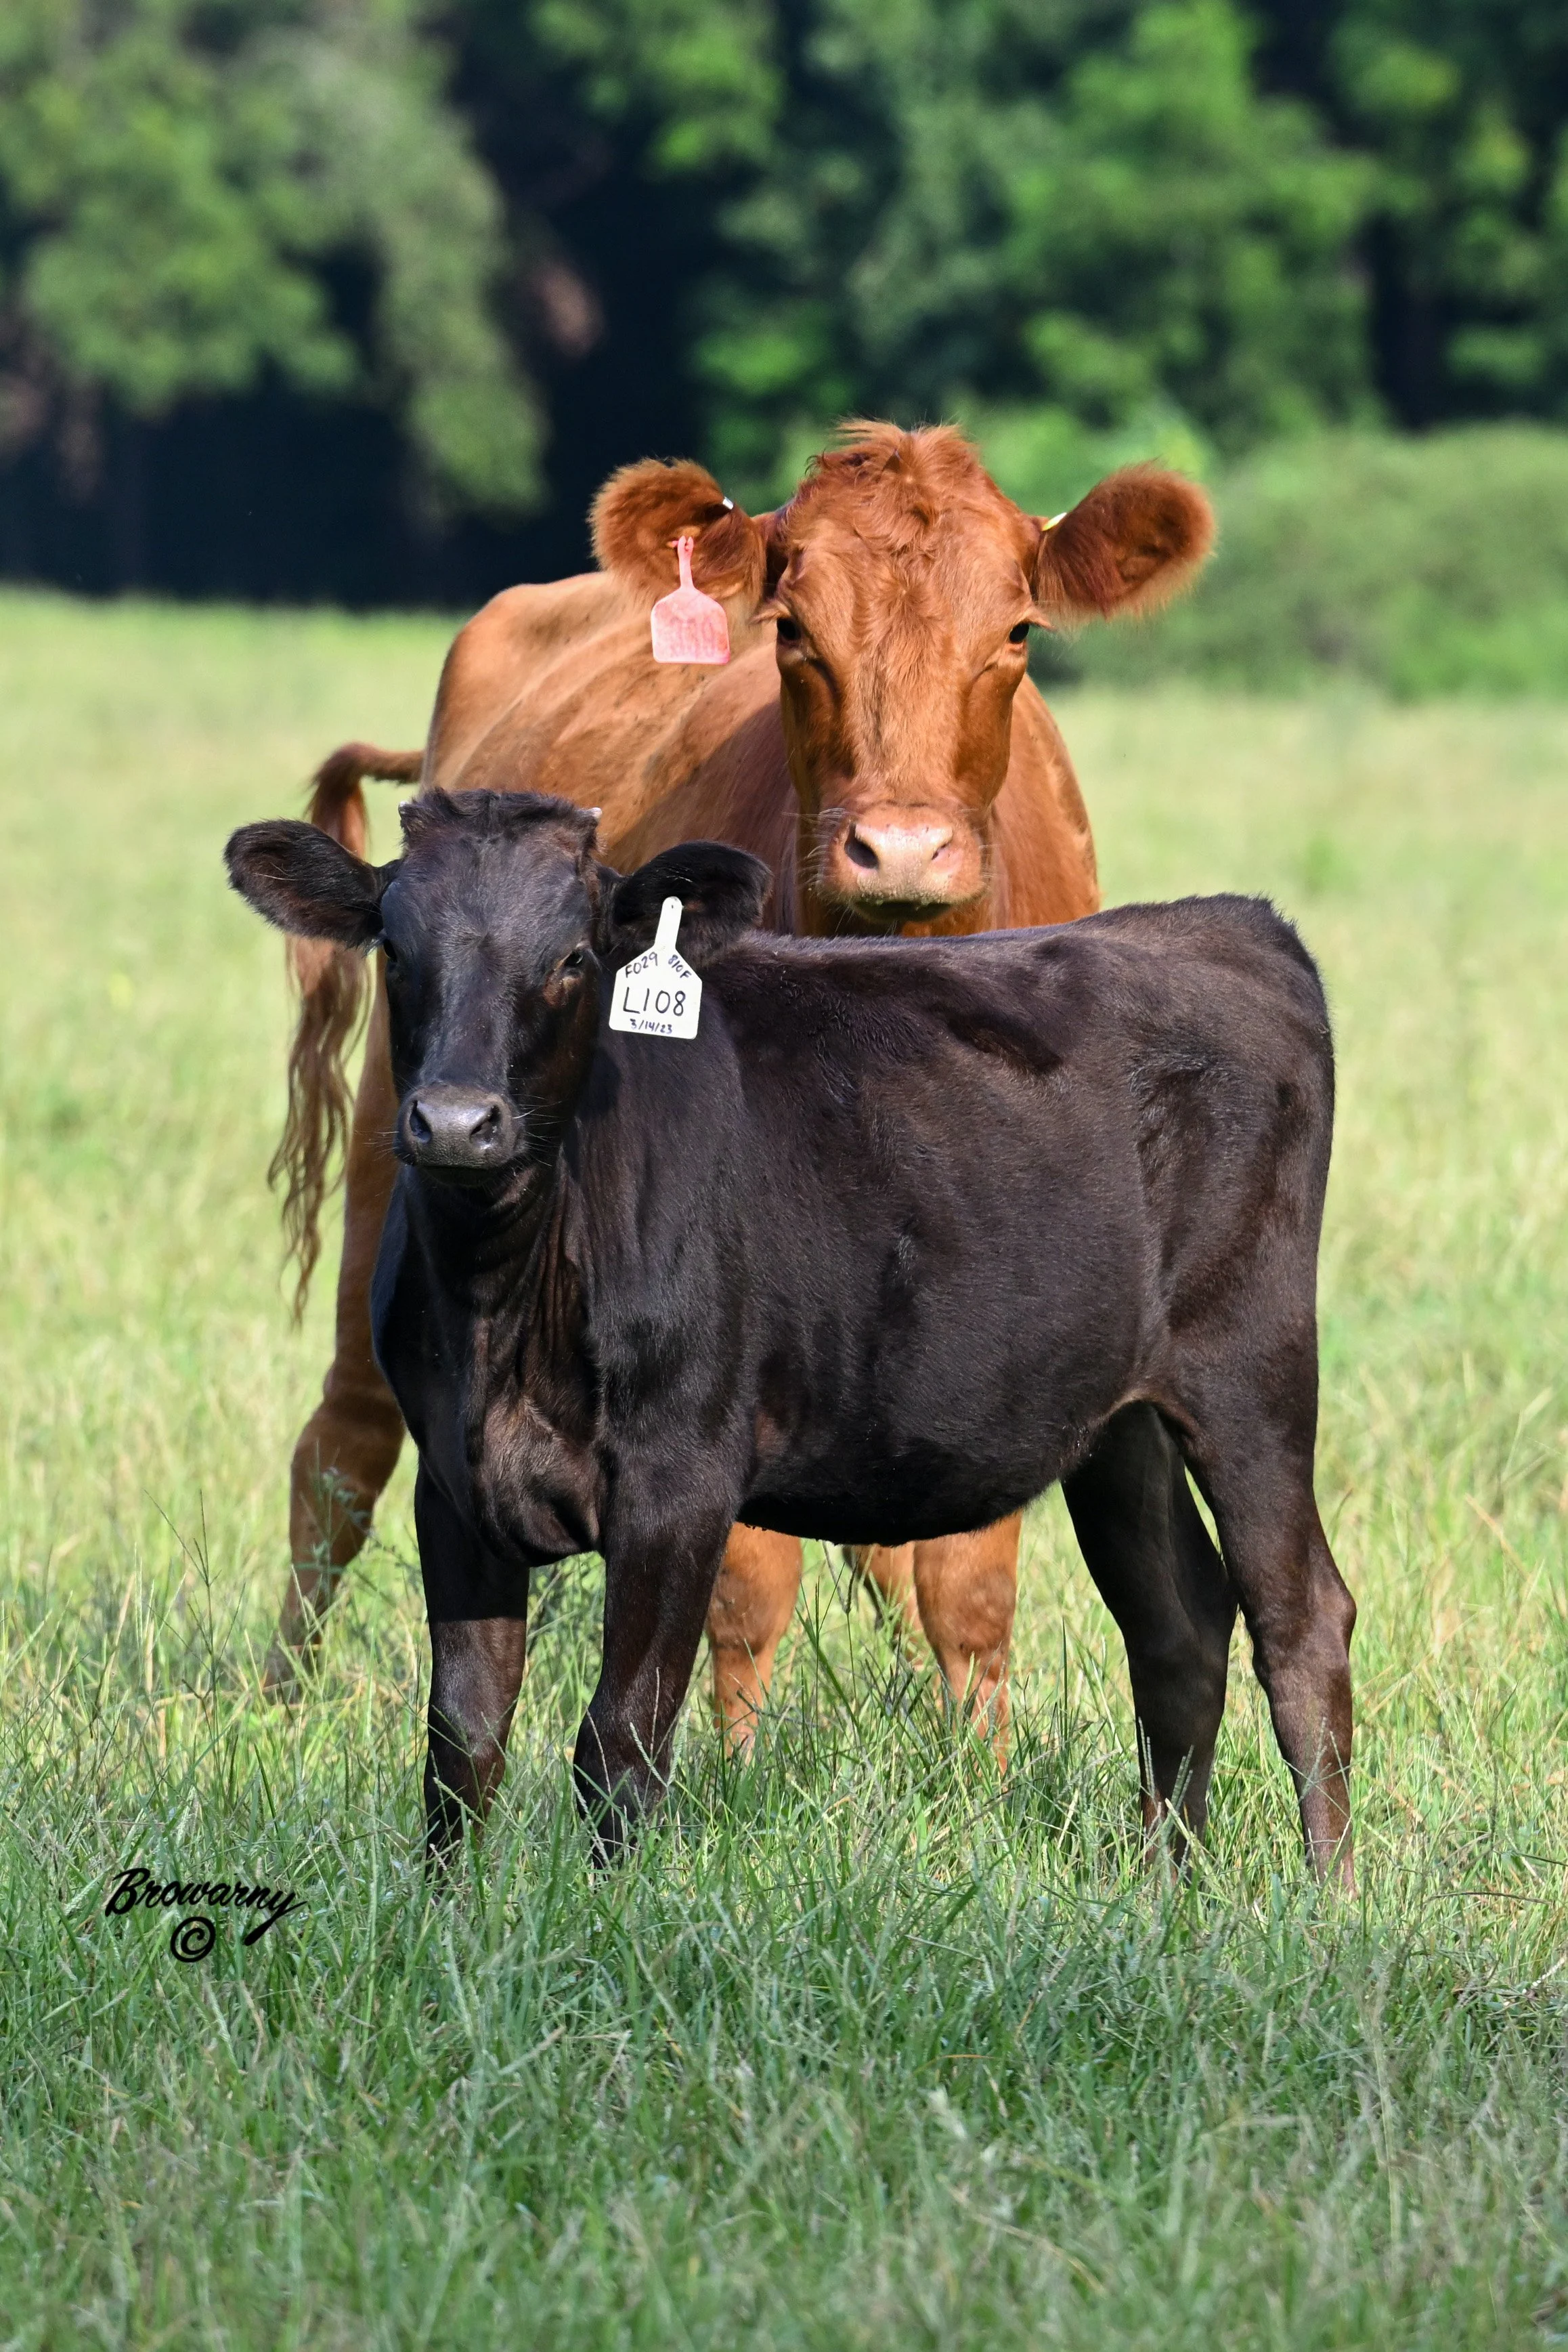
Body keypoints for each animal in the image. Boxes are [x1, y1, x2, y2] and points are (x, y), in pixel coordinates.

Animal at [225, 790, 1357, 1881]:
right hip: (1121, 1421)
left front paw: (599, 1918)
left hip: (1251, 1373)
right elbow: (463, 1738)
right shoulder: (454, 1479)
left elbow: (620, 1737)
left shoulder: (680, 1480)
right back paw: (1164, 1888)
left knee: (1303, 1620)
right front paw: (450, 1916)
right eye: (395, 949)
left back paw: (1327, 1899)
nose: (458, 1122)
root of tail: (1220, 922)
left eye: (575, 958)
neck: (505, 1304)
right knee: (1179, 1627)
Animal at [263, 423, 1215, 1758]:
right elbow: (745, 1576)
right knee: (344, 1440)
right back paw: (276, 1697)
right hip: (385, 1132)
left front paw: (976, 1762)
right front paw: (733, 1769)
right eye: (794, 630)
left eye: (1019, 630)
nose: (902, 847)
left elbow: (967, 1573)